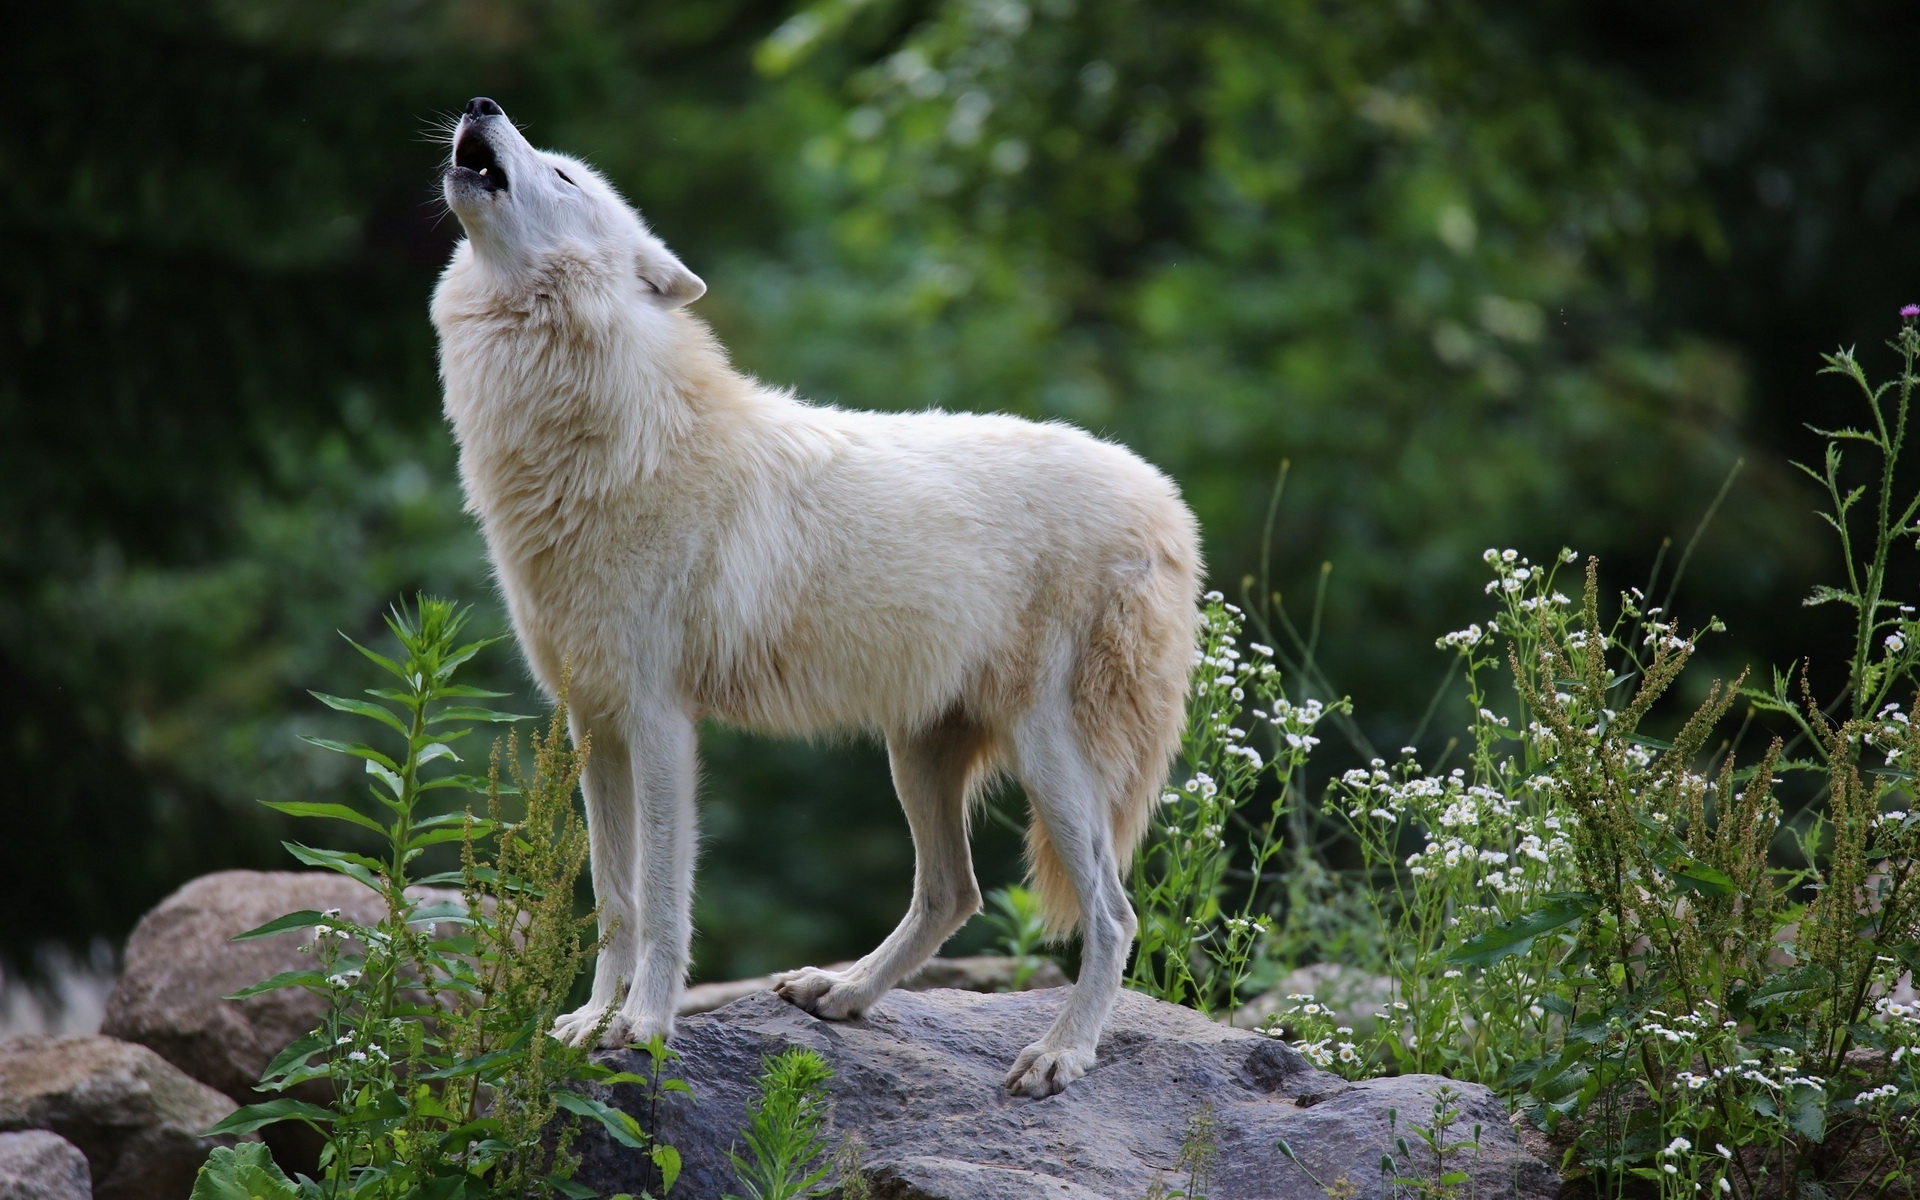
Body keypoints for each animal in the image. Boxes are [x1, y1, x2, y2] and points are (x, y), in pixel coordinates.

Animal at [432, 97, 1200, 1096]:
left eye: (563, 175)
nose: (482, 105)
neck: (609, 438)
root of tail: (1167, 502)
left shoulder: (661, 723)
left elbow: (664, 902)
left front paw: (644, 1026)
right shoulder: (592, 726)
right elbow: (613, 904)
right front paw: (588, 1024)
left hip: (1051, 759)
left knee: (1112, 912)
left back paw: (1061, 1053)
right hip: (917, 753)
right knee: (953, 890)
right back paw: (842, 994)